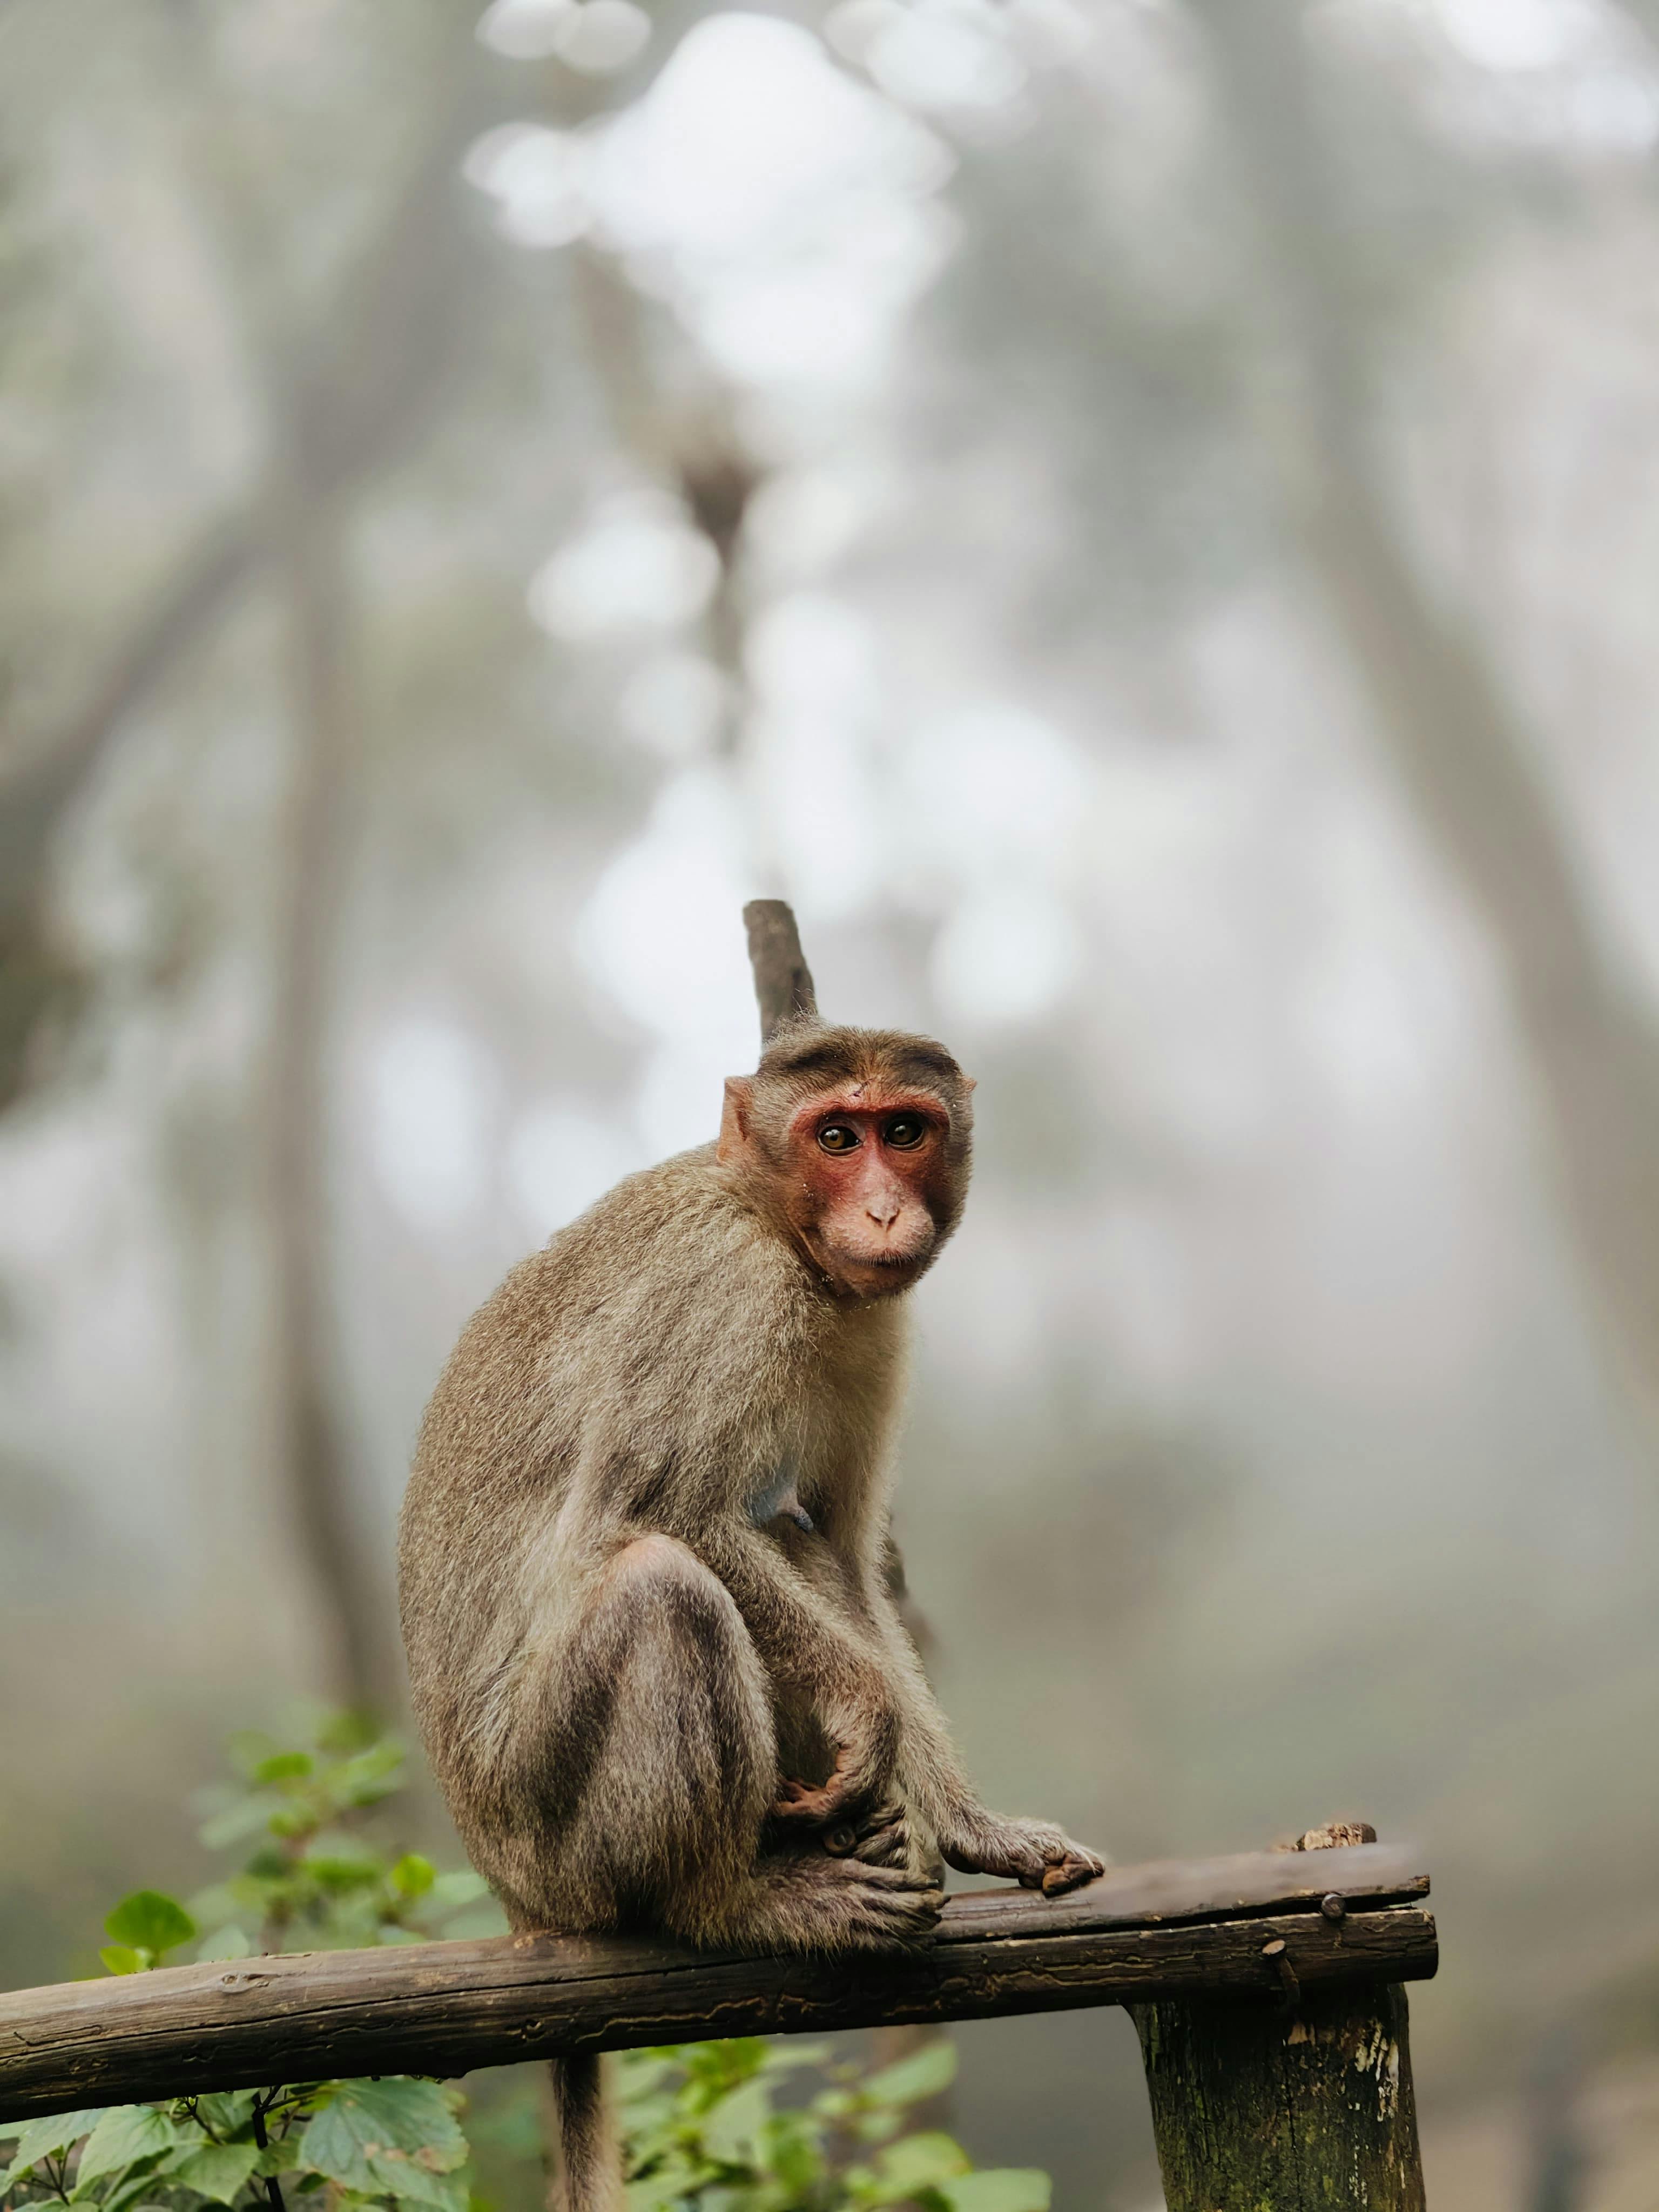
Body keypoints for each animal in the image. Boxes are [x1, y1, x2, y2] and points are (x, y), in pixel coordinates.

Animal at [398, 902, 1103, 2212]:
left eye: (903, 1131)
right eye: (835, 1135)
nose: (881, 1210)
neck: (782, 1224)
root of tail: (513, 1894)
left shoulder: (872, 1322)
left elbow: (842, 1553)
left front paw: (974, 1826)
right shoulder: (724, 1292)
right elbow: (659, 1505)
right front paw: (873, 1712)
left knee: (783, 1545)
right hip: (556, 1841)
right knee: (664, 1586)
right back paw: (733, 1900)